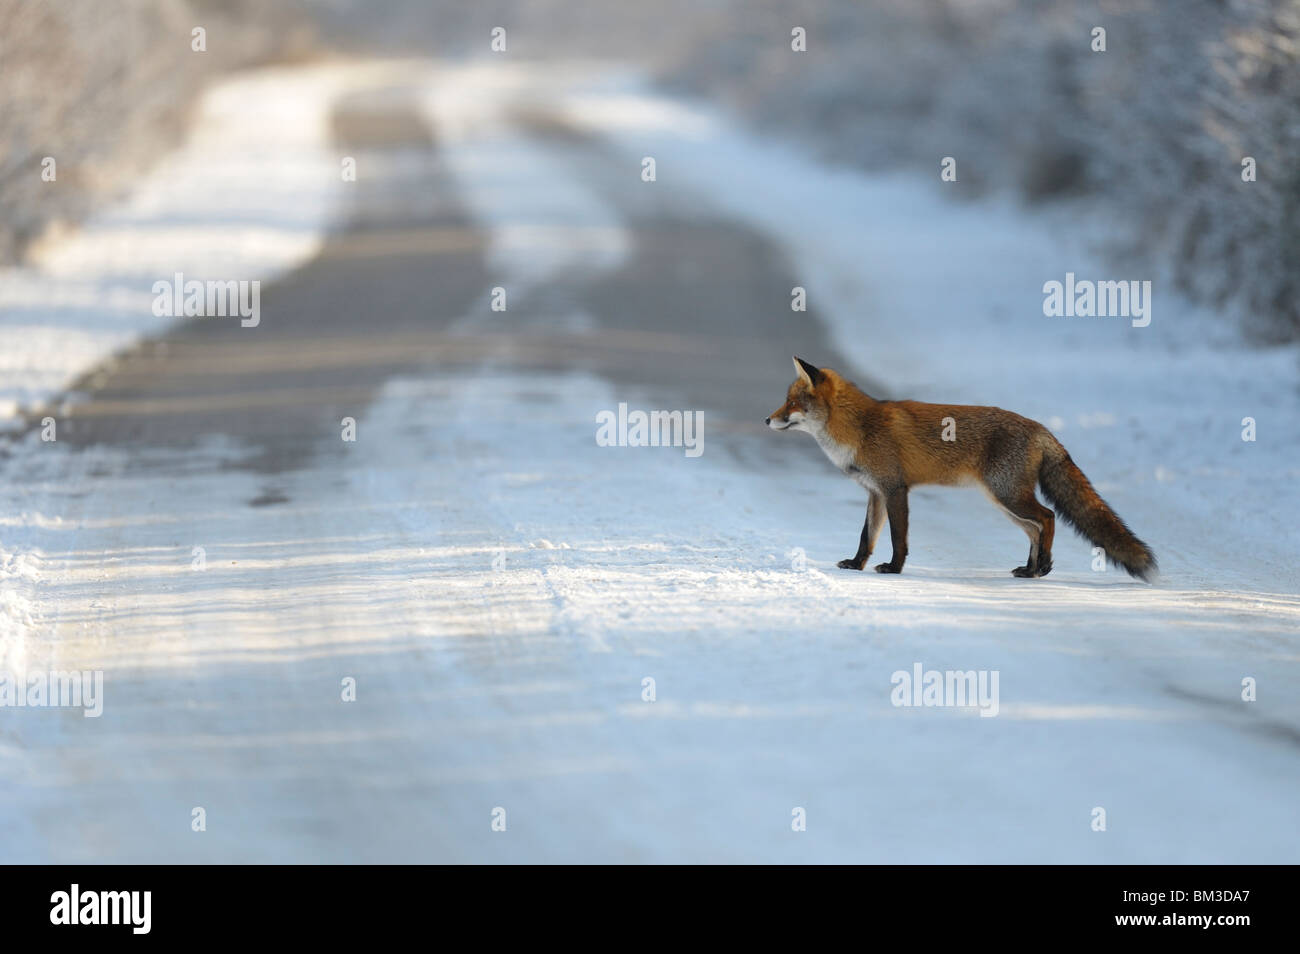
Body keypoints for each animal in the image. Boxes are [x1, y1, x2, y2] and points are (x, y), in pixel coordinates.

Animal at [766, 357, 1156, 580]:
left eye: (792, 403)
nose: (767, 420)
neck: (859, 428)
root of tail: (1042, 429)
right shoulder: (875, 492)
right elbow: (866, 537)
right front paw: (856, 564)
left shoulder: (895, 489)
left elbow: (897, 538)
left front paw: (894, 569)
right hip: (1004, 502)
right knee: (1035, 529)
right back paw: (1030, 569)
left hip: (1009, 496)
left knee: (1047, 518)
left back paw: (1043, 567)